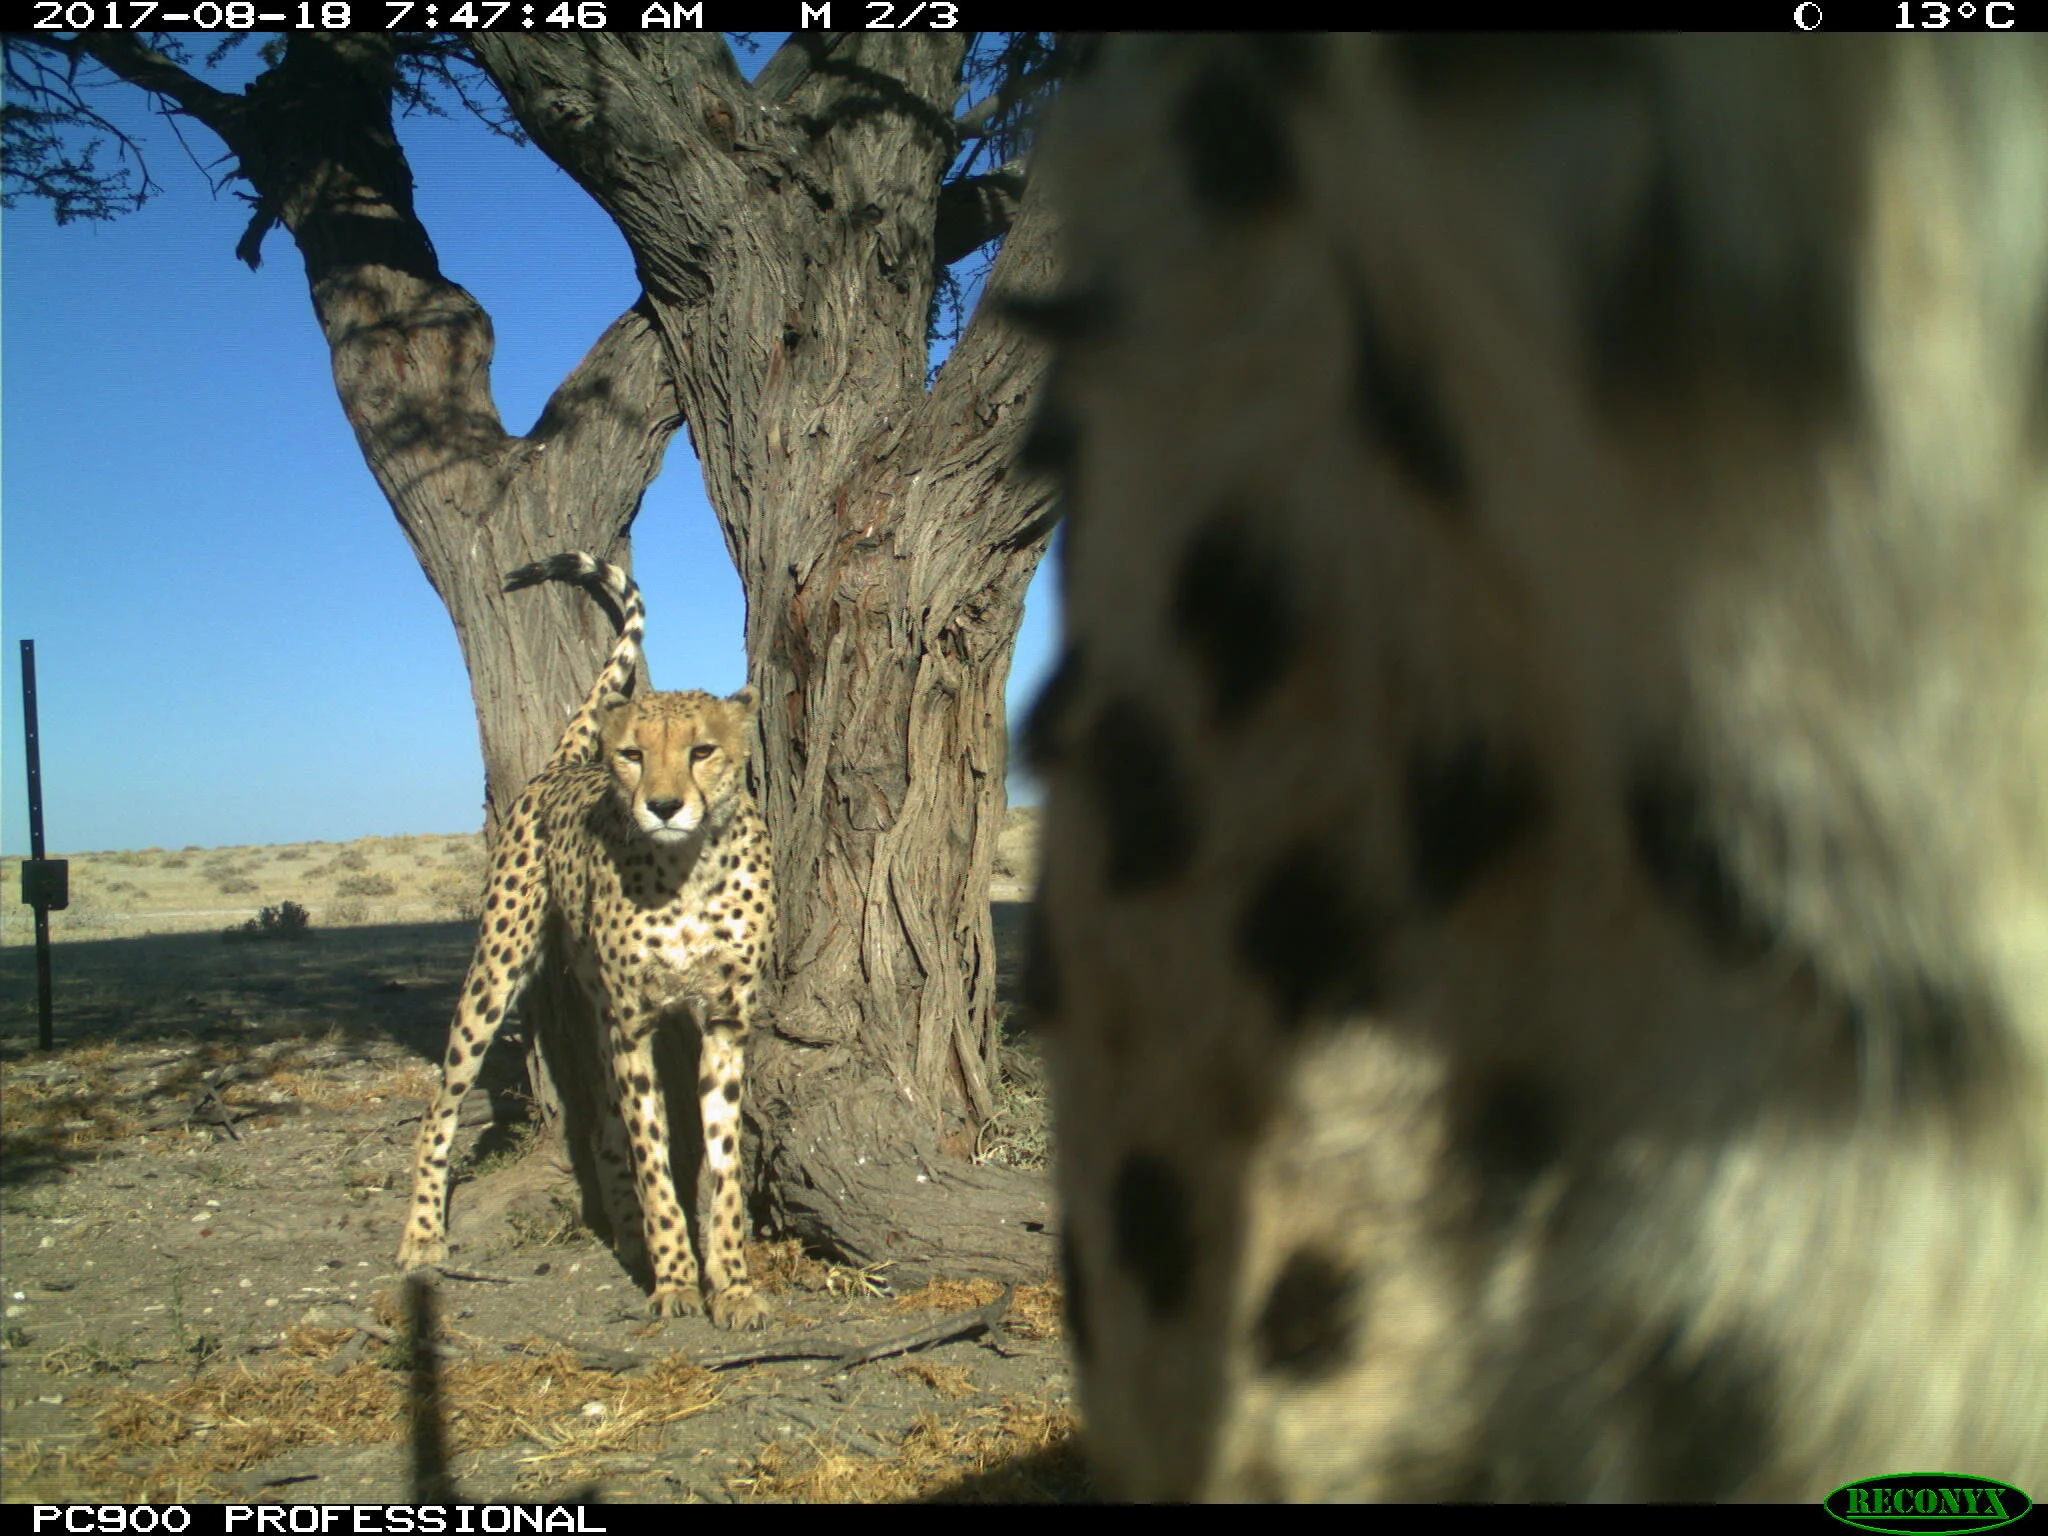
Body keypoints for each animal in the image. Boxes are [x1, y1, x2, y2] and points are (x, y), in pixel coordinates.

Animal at [398, 551, 775, 1331]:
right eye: (631, 755)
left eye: (703, 751)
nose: (662, 805)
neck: (689, 868)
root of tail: (560, 764)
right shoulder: (635, 1023)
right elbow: (656, 1160)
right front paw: (676, 1281)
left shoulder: (725, 1022)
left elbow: (720, 1168)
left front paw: (730, 1284)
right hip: (498, 969)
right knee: (441, 1104)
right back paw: (421, 1234)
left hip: (593, 1001)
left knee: (602, 1122)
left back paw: (628, 1236)